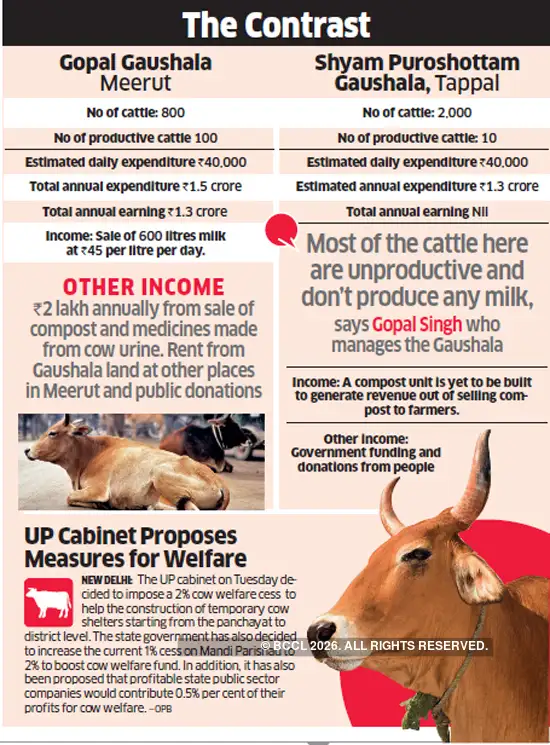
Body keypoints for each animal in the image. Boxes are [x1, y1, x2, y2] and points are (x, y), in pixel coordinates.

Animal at [24, 415, 230, 510]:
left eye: (52, 433)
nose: (27, 450)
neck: (91, 453)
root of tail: (220, 483)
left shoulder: (98, 489)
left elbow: (70, 497)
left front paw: (101, 505)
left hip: (159, 473)